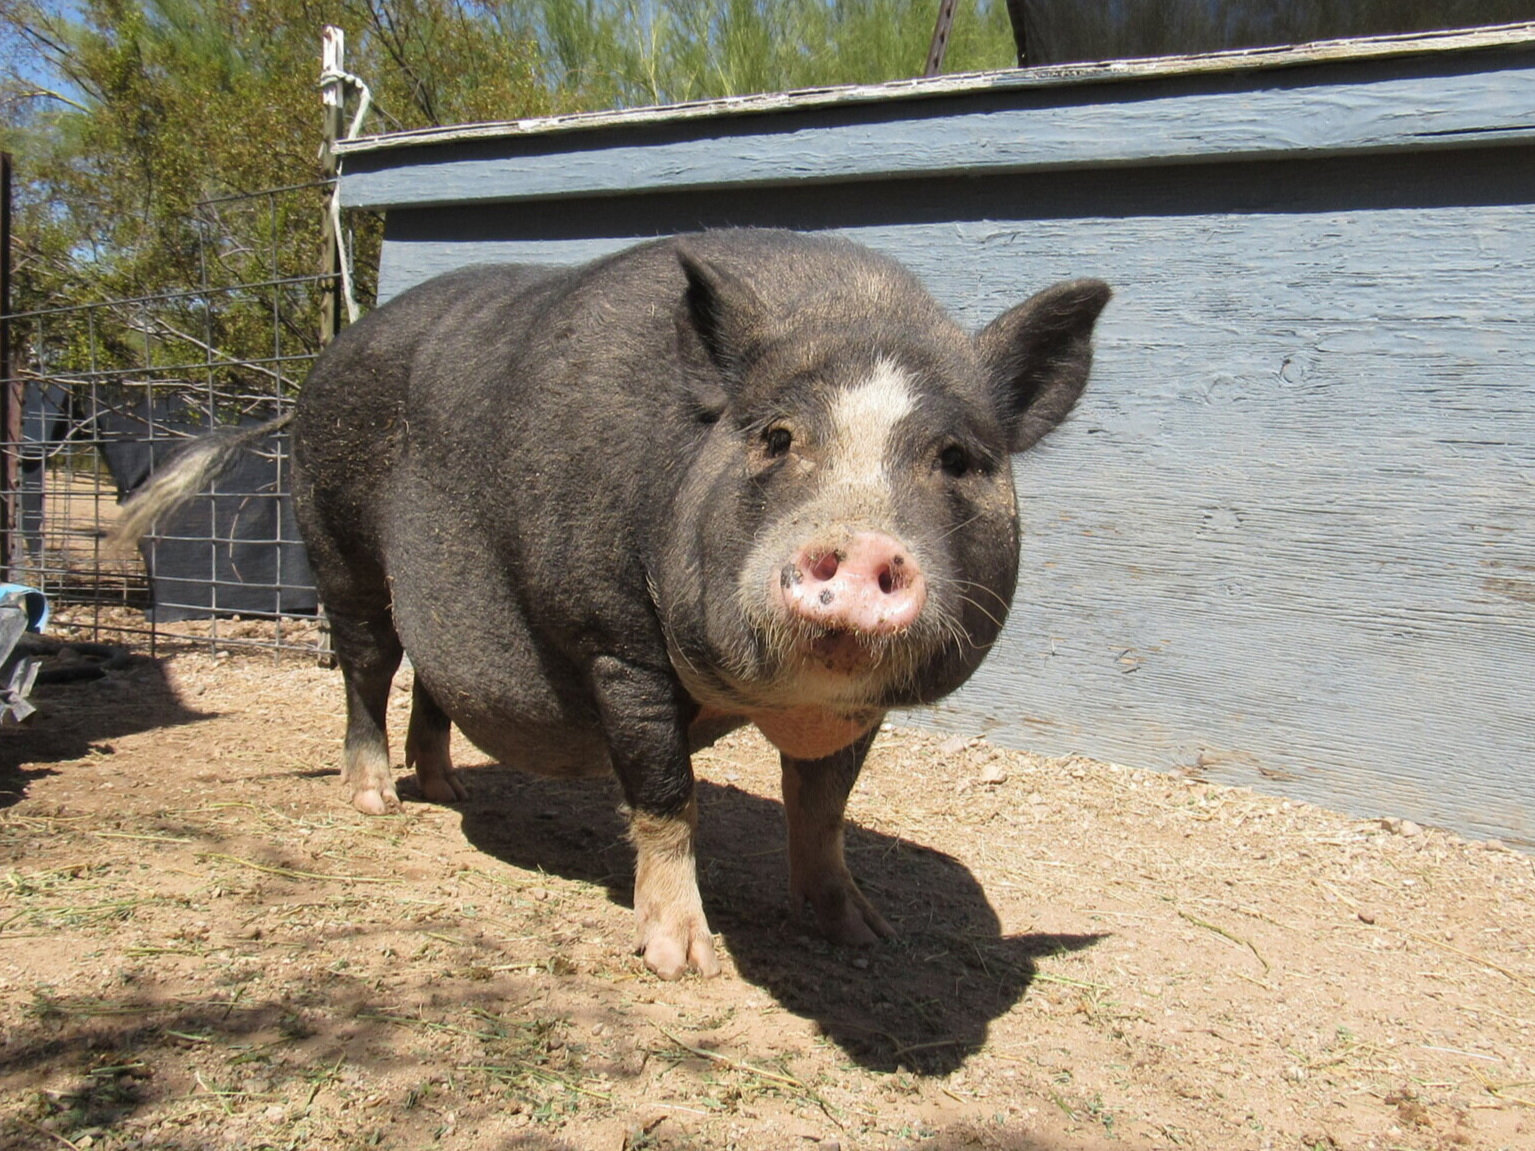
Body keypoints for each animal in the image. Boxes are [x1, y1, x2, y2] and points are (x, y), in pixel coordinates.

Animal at [118, 230, 1109, 979]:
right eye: (776, 436)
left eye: (955, 456)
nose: (862, 543)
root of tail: (311, 377)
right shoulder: (615, 642)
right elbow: (668, 795)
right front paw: (683, 962)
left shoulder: (854, 708)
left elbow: (822, 808)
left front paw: (865, 931)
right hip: (335, 540)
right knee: (366, 665)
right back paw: (375, 802)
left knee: (434, 677)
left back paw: (441, 788)